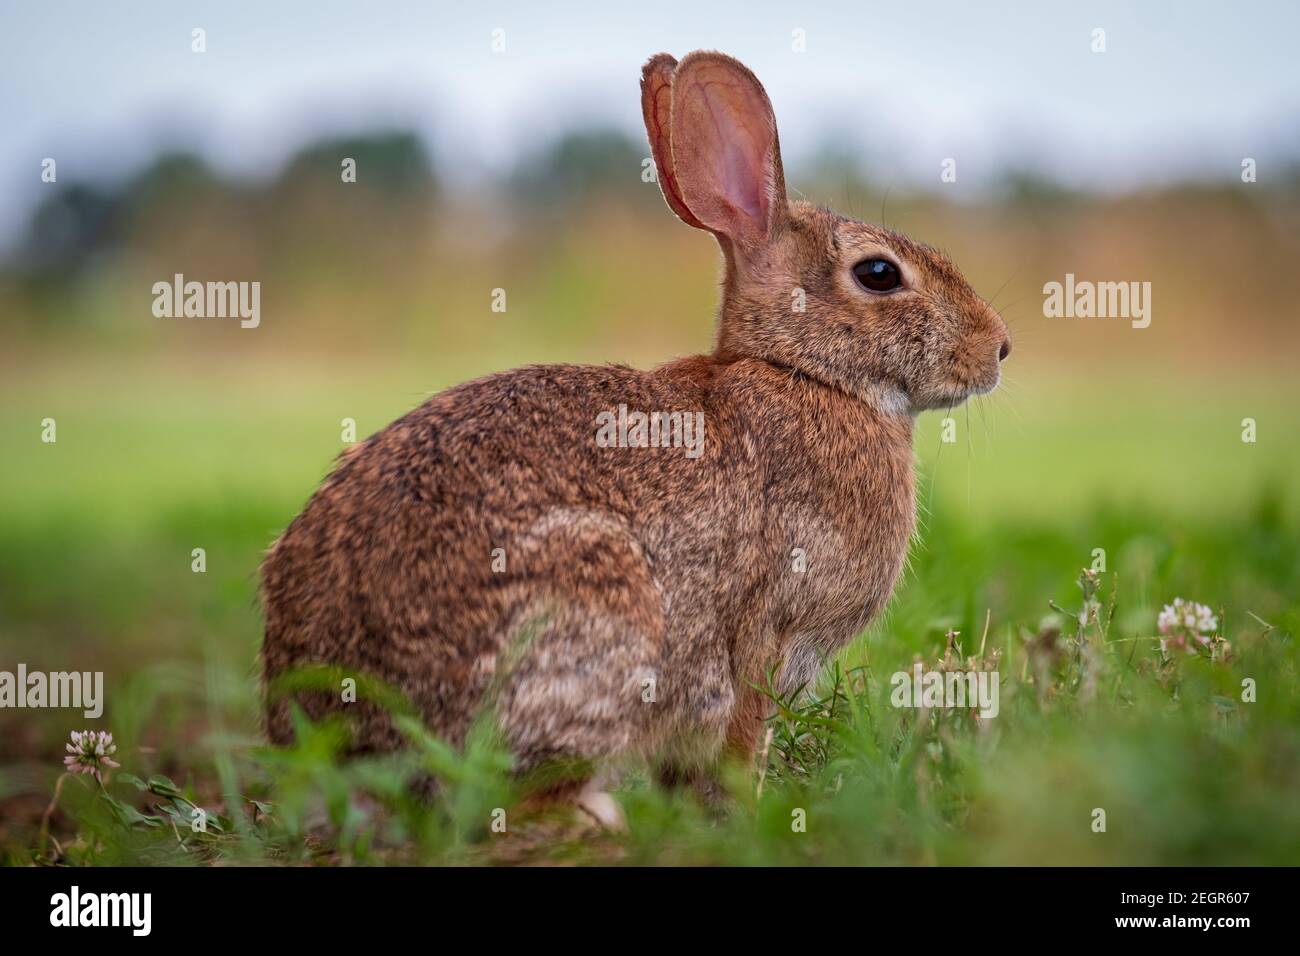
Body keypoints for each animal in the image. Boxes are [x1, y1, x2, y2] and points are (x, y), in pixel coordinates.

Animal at [259, 50, 1010, 824]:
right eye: (879, 274)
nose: (999, 348)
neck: (805, 374)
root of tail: (349, 742)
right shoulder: (765, 631)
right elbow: (740, 735)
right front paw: (743, 814)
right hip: (591, 610)